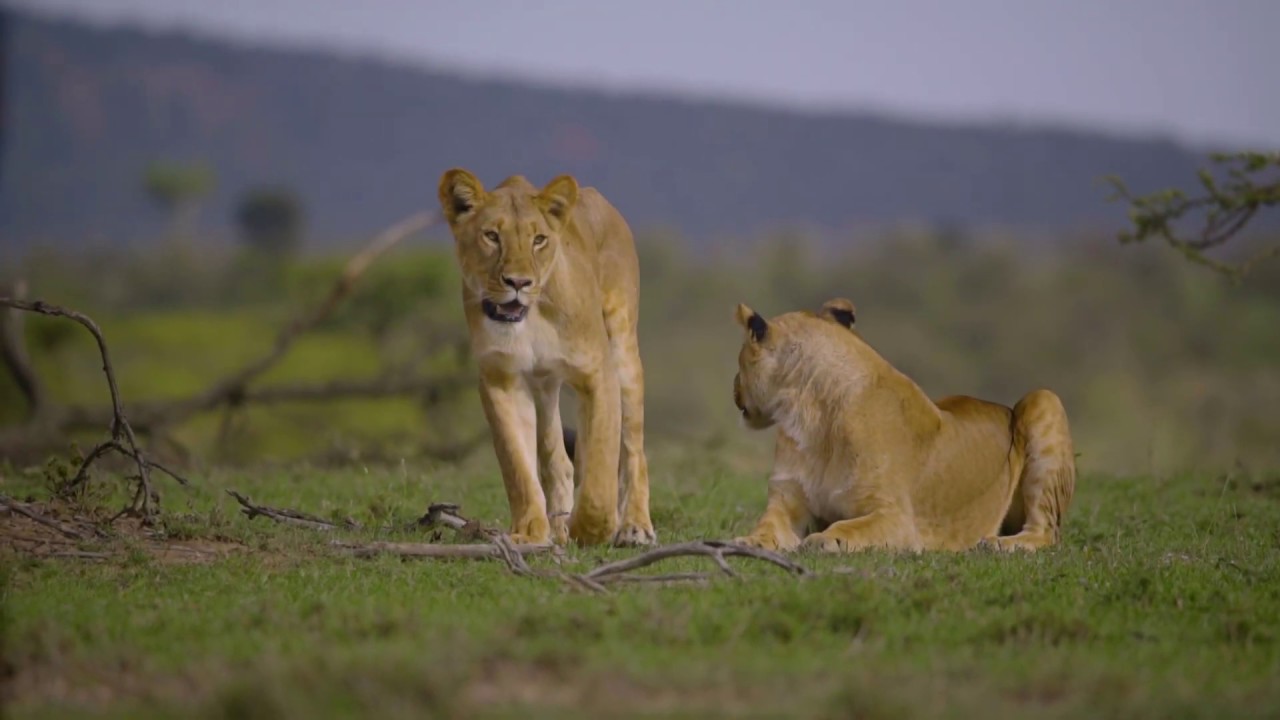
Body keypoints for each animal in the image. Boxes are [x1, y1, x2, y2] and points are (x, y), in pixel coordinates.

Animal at [437, 169, 655, 547]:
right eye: (491, 236)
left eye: (538, 239)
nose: (518, 282)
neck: (530, 319)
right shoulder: (501, 378)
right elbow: (517, 465)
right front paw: (529, 533)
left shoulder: (598, 373)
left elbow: (600, 468)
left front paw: (591, 529)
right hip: (544, 384)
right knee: (558, 461)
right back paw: (558, 527)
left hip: (624, 347)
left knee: (634, 451)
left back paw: (634, 527)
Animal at [730, 298, 1076, 553]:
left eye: (739, 361)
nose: (733, 385)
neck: (810, 417)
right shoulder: (787, 501)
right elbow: (767, 526)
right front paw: (747, 542)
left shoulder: (898, 518)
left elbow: (850, 526)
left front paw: (826, 539)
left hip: (1044, 400)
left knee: (1047, 531)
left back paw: (998, 544)